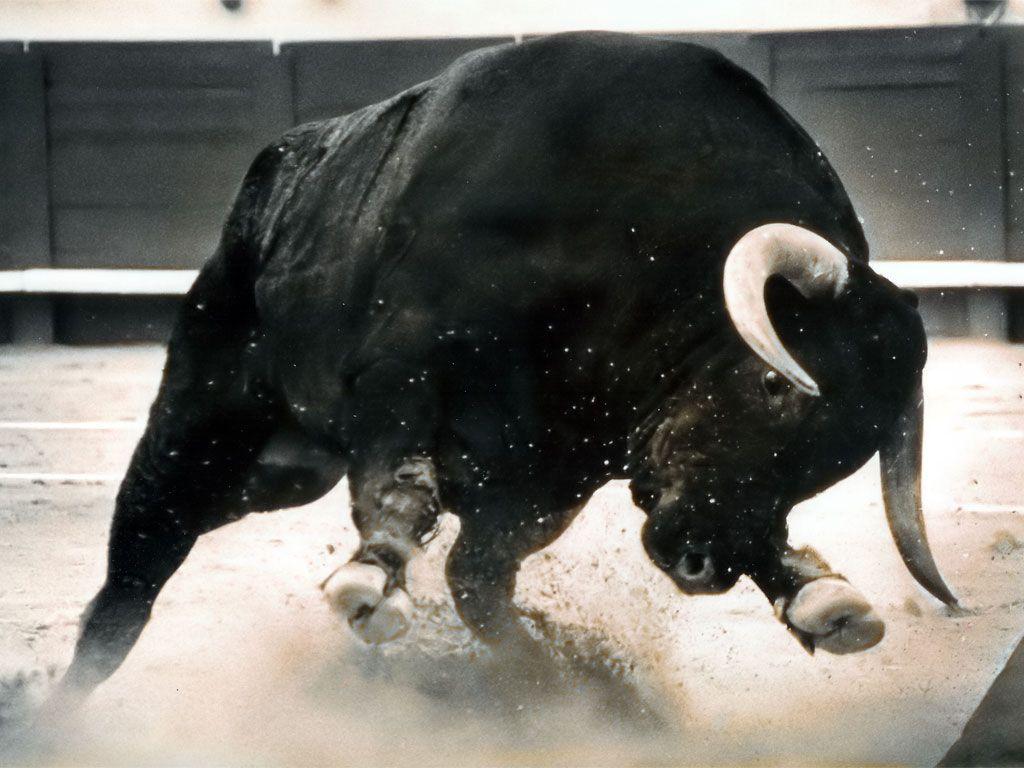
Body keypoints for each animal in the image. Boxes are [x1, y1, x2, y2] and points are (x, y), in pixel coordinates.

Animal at [52, 31, 956, 706]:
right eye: (774, 384)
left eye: (836, 461)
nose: (704, 565)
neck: (627, 246)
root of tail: (279, 172)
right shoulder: (403, 374)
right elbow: (402, 494)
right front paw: (374, 581)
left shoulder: (547, 480)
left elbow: (477, 580)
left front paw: (813, 595)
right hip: (204, 429)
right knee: (136, 565)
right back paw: (57, 712)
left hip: (285, 473)